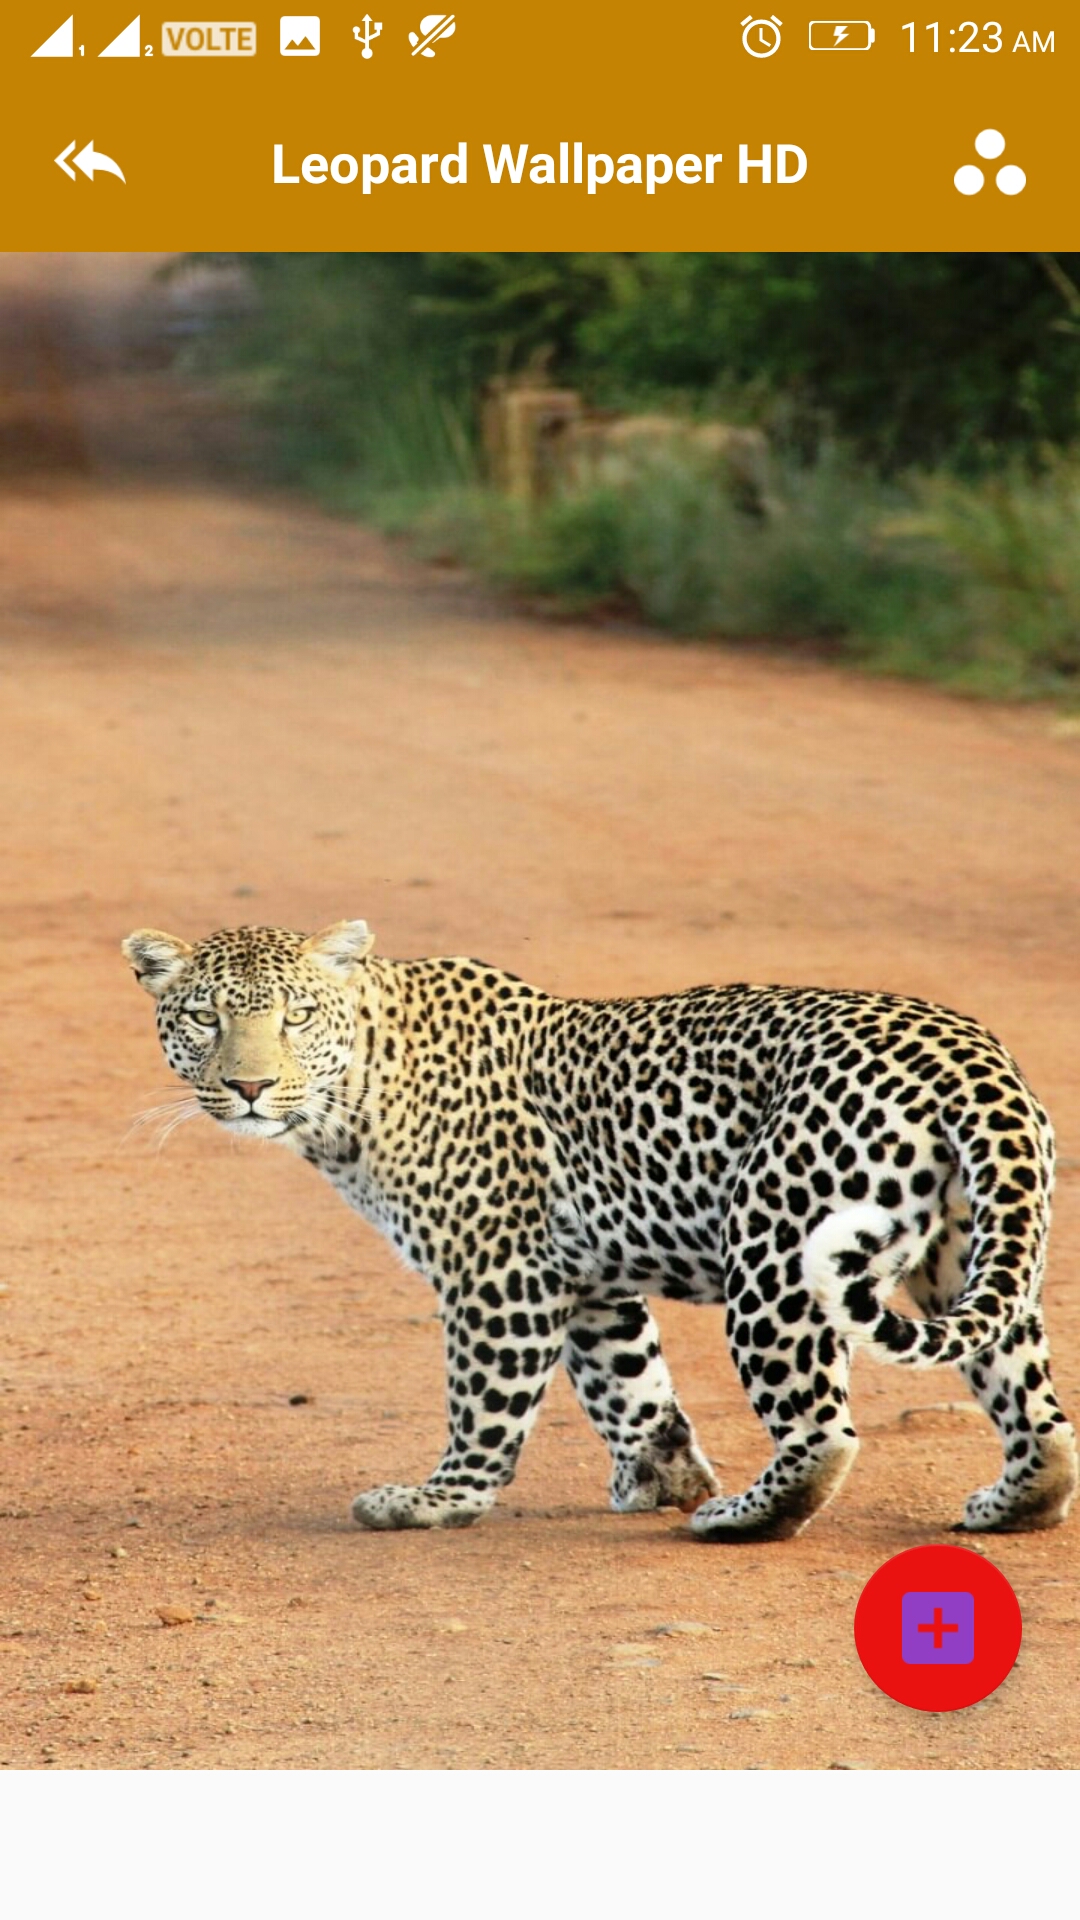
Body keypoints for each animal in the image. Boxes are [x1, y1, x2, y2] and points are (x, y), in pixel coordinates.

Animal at [122, 918, 1077, 1541]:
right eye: (205, 1017)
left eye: (296, 1016)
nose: (248, 1086)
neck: (356, 1090)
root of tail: (970, 1056)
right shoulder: (586, 1279)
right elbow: (631, 1386)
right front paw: (662, 1475)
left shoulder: (498, 1272)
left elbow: (485, 1402)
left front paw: (440, 1500)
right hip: (969, 1254)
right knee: (1036, 1406)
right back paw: (1013, 1506)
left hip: (776, 1251)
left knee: (822, 1434)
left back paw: (740, 1518)